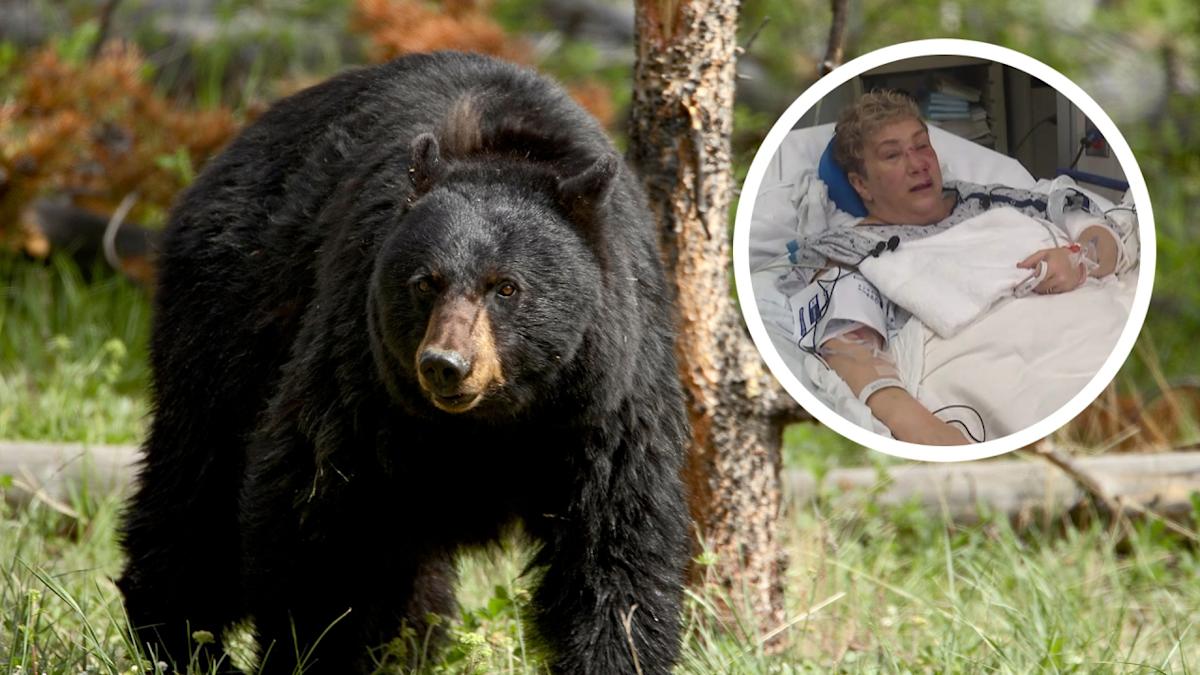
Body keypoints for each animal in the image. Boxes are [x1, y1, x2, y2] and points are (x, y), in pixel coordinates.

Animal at [116, 51, 691, 674]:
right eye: (425, 282)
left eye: (506, 287)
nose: (446, 364)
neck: (492, 423)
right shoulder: (360, 368)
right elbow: (316, 509)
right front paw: (314, 650)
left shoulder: (608, 396)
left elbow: (616, 538)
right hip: (226, 316)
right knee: (196, 480)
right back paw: (178, 639)